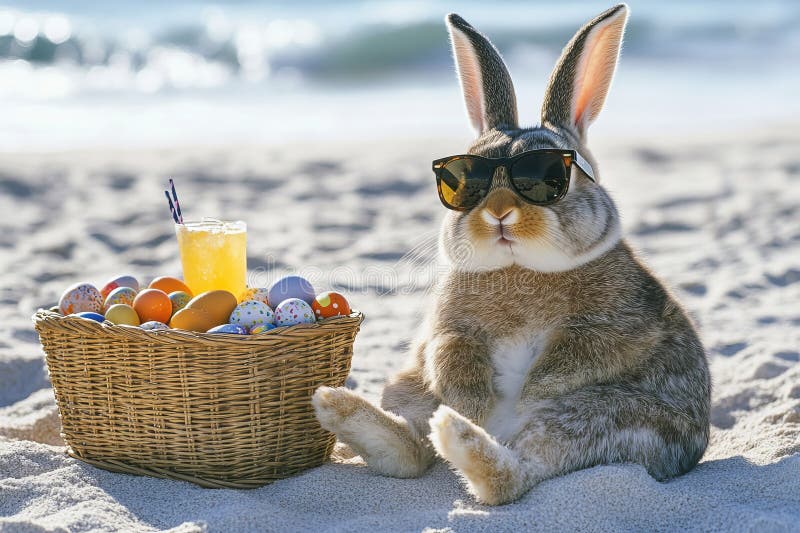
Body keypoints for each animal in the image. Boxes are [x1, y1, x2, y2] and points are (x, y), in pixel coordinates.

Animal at [312, 3, 710, 505]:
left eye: (550, 177)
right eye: (465, 181)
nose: (499, 211)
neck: (519, 266)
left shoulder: (616, 326)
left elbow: (576, 356)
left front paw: (526, 395)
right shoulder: (448, 330)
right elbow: (449, 351)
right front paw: (472, 404)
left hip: (607, 414)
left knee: (517, 473)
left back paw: (457, 432)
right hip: (410, 390)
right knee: (416, 451)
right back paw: (351, 408)